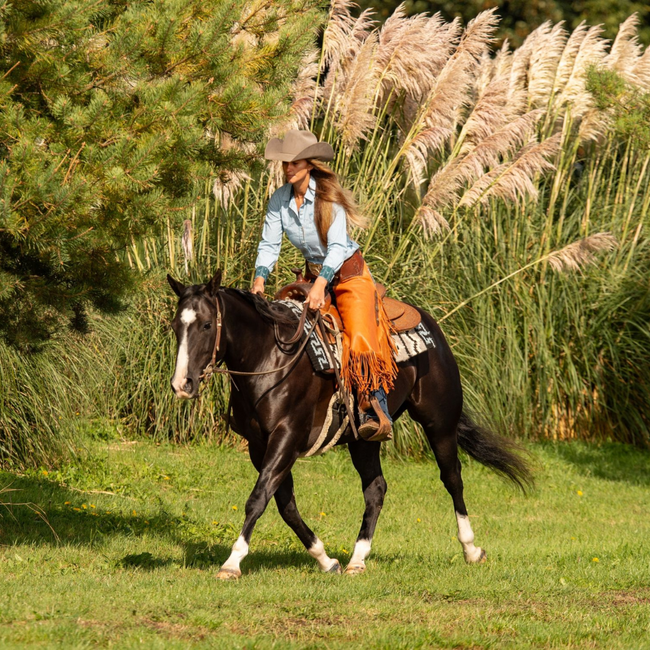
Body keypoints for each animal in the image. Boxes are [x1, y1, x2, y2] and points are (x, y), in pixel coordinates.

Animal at [167, 269, 532, 579]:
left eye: (205, 325)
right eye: (175, 326)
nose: (182, 384)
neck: (270, 356)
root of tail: (430, 323)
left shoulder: (286, 437)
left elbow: (259, 497)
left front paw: (232, 561)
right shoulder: (260, 445)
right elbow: (285, 504)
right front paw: (325, 559)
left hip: (439, 421)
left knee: (452, 477)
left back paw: (471, 549)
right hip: (363, 439)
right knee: (376, 488)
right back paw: (358, 558)